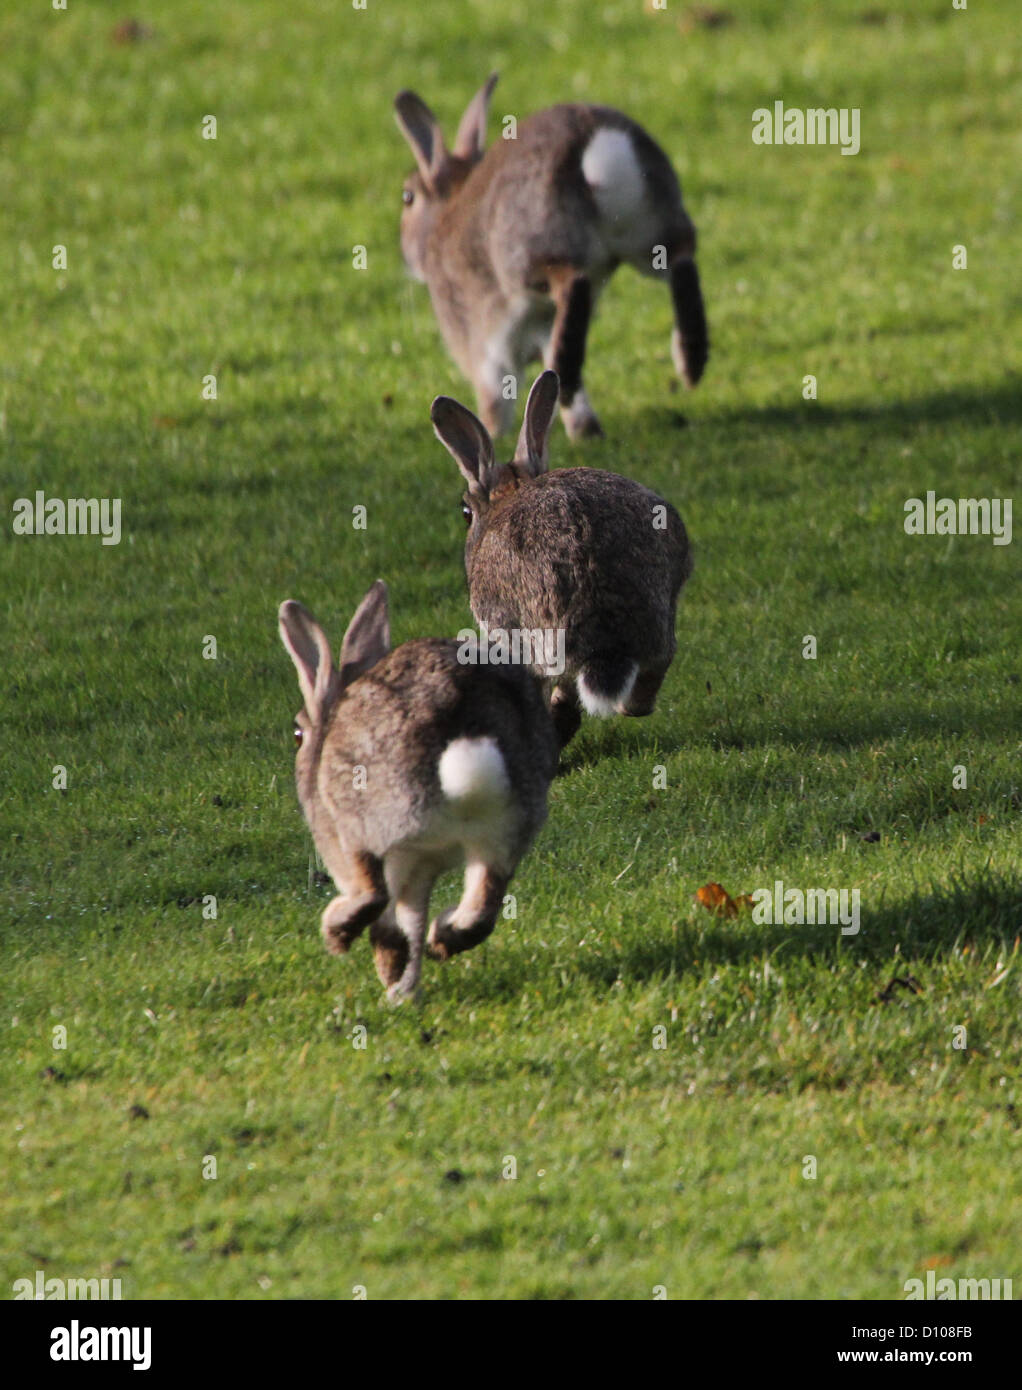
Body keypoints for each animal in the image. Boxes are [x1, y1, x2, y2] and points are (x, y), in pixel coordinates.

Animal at [278, 581, 557, 1002]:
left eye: (297, 734)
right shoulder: (418, 867)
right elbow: (408, 919)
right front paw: (402, 991)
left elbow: (386, 916)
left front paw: (393, 978)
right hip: (507, 827)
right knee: (483, 904)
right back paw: (441, 939)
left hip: (359, 819)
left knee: (372, 894)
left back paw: (338, 934)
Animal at [395, 73, 708, 442]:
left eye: (408, 197)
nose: (406, 258)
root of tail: (590, 143)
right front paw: (584, 429)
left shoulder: (478, 339)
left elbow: (494, 388)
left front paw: (491, 430)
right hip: (649, 233)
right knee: (681, 261)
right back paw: (690, 362)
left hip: (530, 254)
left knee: (573, 281)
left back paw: (571, 378)